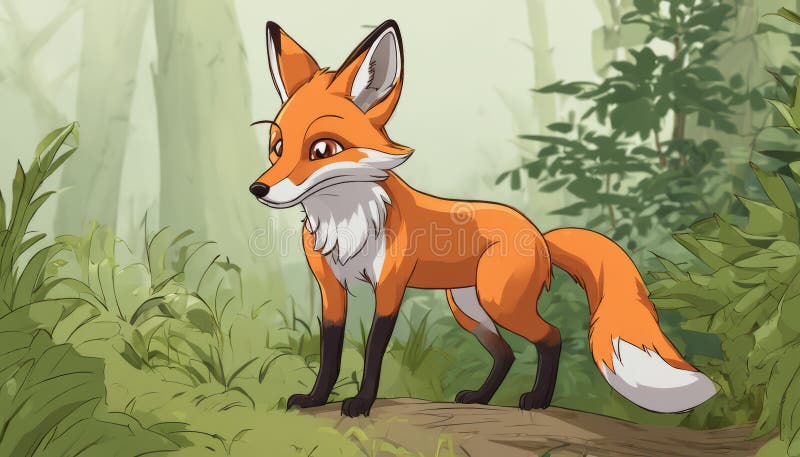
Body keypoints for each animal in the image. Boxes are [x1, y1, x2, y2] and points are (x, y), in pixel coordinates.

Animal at [249, 19, 717, 418]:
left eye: (322, 149)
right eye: (276, 147)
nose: (258, 190)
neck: (347, 222)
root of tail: (539, 234)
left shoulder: (390, 288)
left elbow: (374, 351)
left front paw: (362, 403)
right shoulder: (331, 290)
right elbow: (329, 353)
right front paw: (315, 399)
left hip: (497, 301)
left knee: (550, 337)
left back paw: (537, 400)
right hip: (469, 309)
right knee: (506, 352)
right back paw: (480, 399)